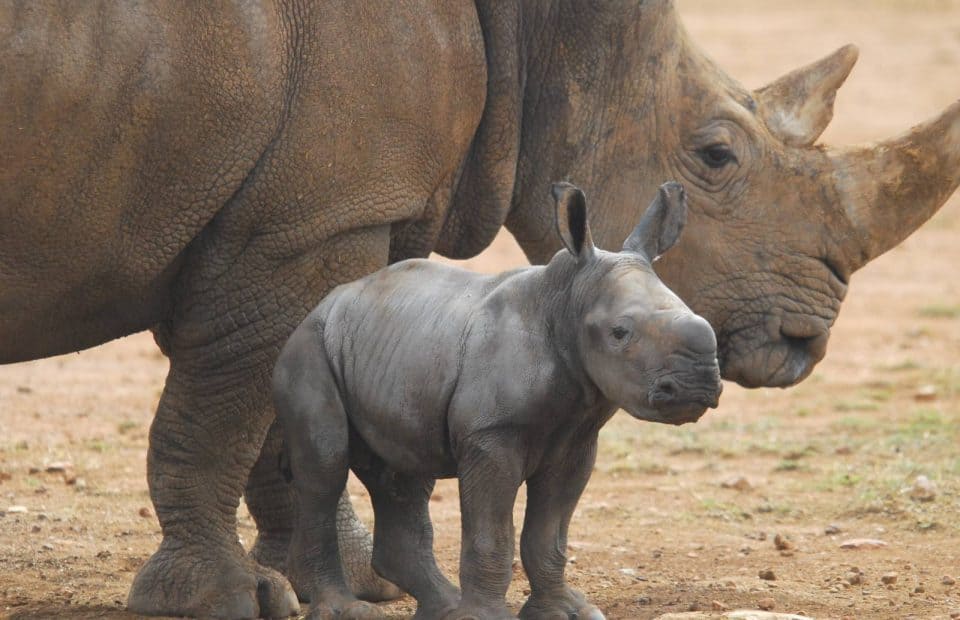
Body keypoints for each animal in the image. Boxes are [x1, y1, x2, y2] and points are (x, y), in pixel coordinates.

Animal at [273, 182, 722, 620]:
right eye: (620, 333)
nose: (697, 384)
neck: (567, 301)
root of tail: (325, 303)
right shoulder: (491, 434)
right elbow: (491, 535)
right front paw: (485, 616)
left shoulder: (577, 438)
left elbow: (550, 535)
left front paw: (566, 611)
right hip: (309, 346)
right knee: (326, 465)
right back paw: (348, 610)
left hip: (398, 349)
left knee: (403, 473)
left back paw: (445, 609)